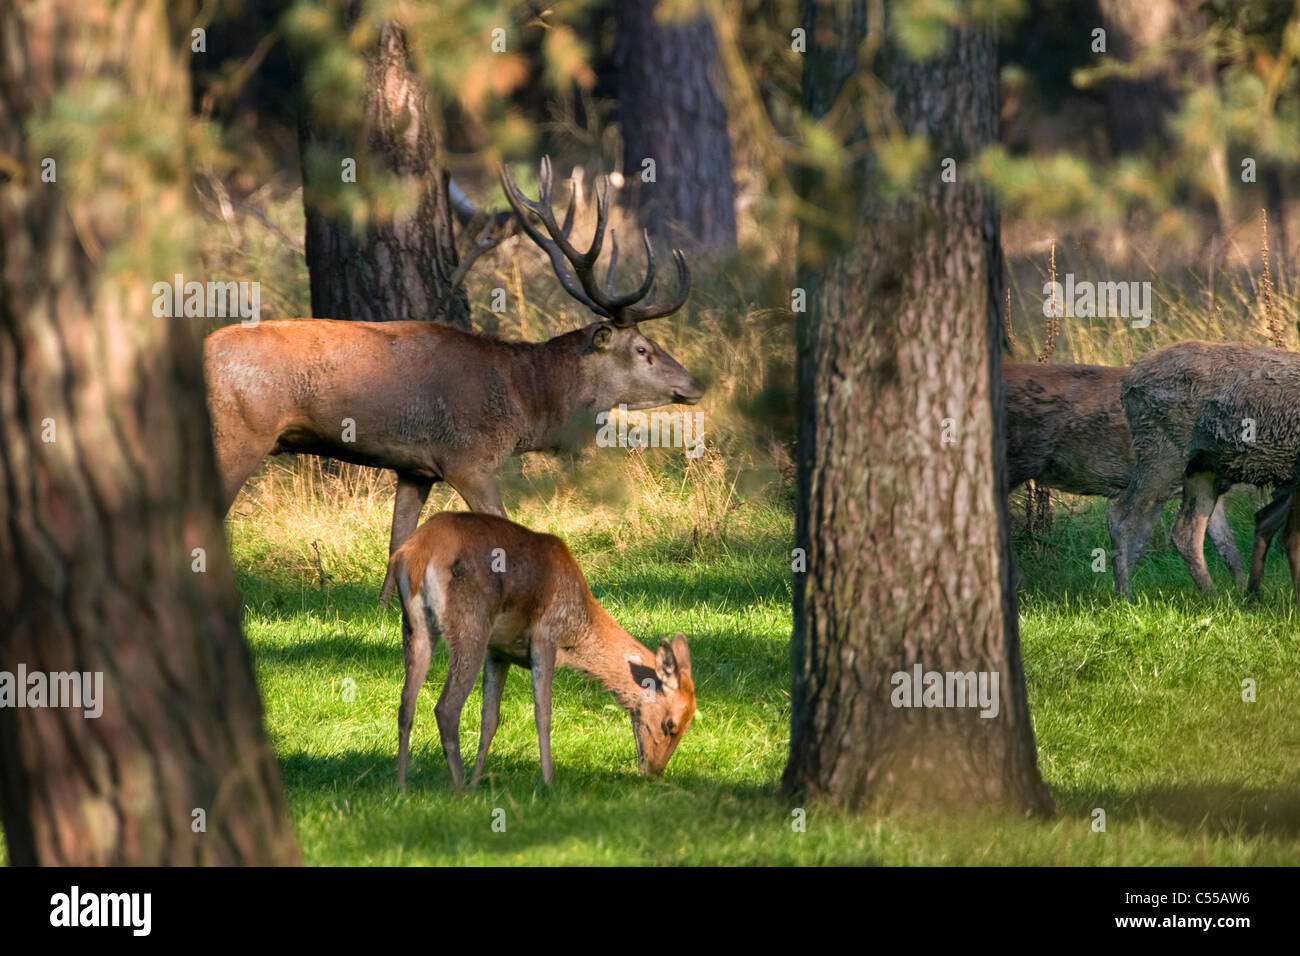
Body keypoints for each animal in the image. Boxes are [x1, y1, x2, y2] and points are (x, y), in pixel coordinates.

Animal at [204, 158, 703, 601]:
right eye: (643, 350)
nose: (694, 384)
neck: (524, 401)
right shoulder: (467, 457)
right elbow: (502, 527)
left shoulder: (414, 468)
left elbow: (397, 545)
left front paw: (390, 612)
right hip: (237, 436)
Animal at [389, 511, 696, 788]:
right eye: (670, 725)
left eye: (688, 723)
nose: (654, 772)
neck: (576, 630)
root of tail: (415, 557)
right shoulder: (545, 637)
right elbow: (543, 714)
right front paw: (548, 781)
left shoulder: (498, 651)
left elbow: (490, 720)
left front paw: (479, 781)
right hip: (470, 623)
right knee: (446, 707)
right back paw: (459, 787)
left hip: (415, 627)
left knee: (406, 703)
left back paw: (402, 785)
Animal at [1108, 341, 1300, 597]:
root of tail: (1128, 383)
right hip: (1160, 453)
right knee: (1119, 517)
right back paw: (1124, 594)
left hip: (1201, 466)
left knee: (1186, 532)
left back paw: (1214, 596)